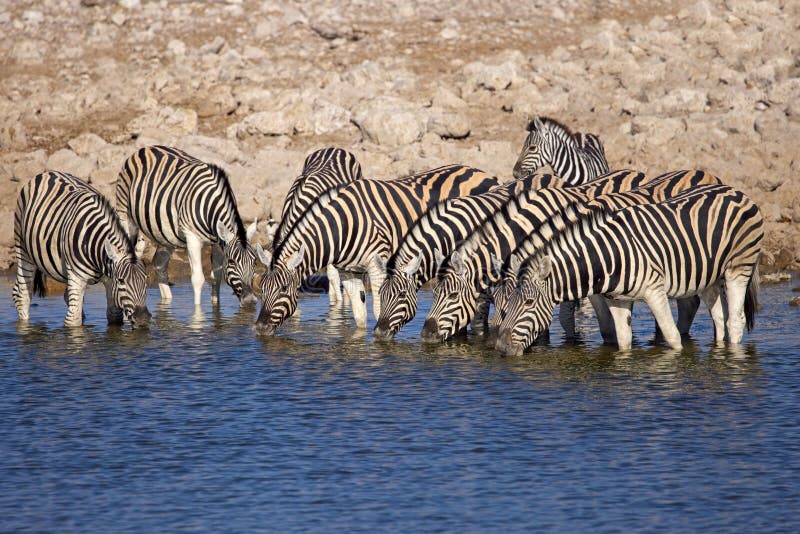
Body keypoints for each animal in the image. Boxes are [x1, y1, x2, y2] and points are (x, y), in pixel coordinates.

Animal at [13, 171, 151, 328]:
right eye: (121, 281)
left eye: (146, 279)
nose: (143, 319)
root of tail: (47, 173)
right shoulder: (77, 277)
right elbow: (73, 320)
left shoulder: (110, 280)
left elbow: (114, 315)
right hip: (23, 249)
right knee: (22, 294)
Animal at [115, 145, 258, 308]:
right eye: (232, 262)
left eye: (255, 261)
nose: (250, 301)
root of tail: (145, 148)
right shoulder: (192, 238)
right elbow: (198, 279)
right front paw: (198, 313)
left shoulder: (218, 243)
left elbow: (216, 276)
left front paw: (216, 308)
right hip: (126, 218)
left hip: (165, 234)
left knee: (159, 264)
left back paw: (167, 301)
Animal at [254, 165, 500, 335]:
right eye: (262, 288)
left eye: (284, 289)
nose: (259, 329)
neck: (343, 225)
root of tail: (483, 173)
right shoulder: (349, 271)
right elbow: (359, 314)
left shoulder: (377, 264)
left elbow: (379, 309)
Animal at [495, 184, 763, 355]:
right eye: (509, 301)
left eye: (528, 303)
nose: (501, 347)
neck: (606, 256)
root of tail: (737, 191)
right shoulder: (618, 299)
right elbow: (623, 341)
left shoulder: (655, 291)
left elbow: (672, 336)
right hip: (708, 276)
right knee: (719, 318)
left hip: (739, 267)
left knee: (735, 320)